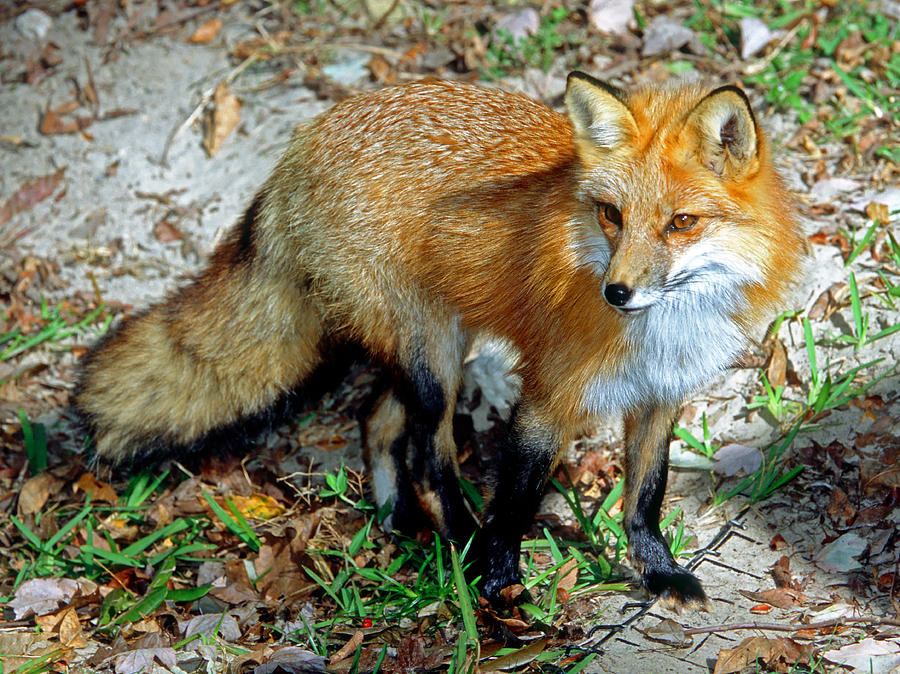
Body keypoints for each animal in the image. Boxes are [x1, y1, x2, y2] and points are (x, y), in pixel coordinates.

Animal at [75, 71, 808, 607]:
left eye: (682, 222)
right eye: (611, 215)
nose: (617, 293)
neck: (665, 328)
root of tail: (299, 147)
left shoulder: (661, 395)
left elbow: (645, 499)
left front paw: (658, 574)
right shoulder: (549, 397)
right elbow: (515, 500)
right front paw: (499, 579)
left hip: (436, 348)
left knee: (376, 418)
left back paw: (397, 520)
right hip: (433, 356)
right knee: (429, 453)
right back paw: (459, 538)